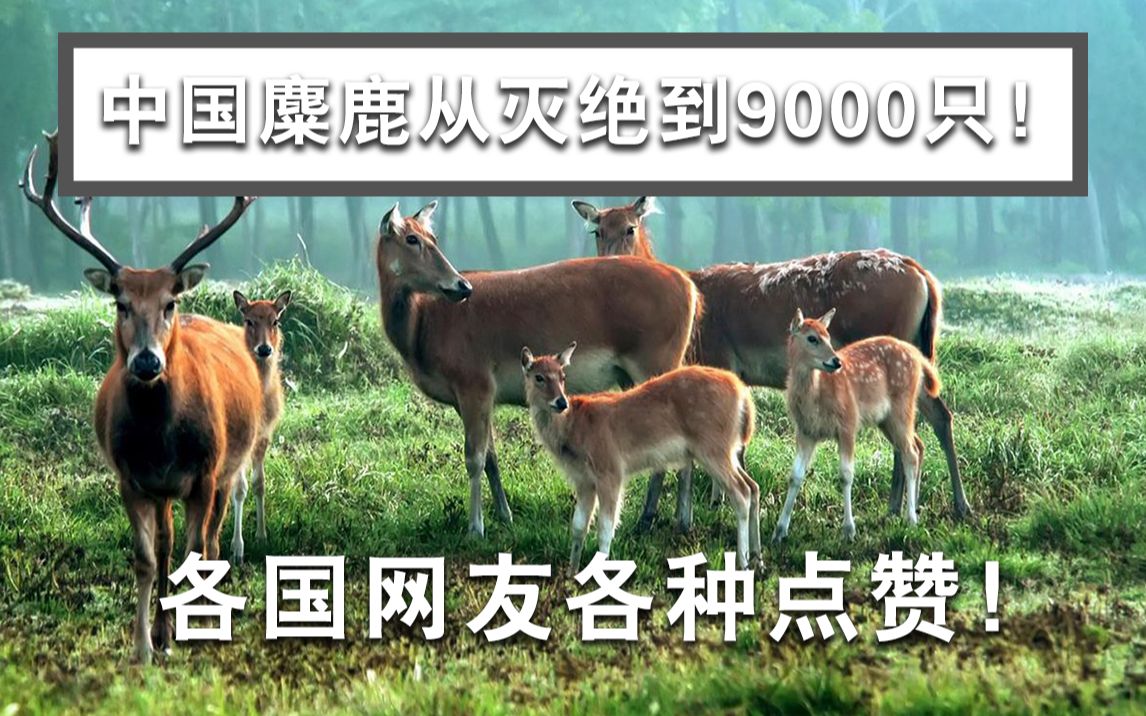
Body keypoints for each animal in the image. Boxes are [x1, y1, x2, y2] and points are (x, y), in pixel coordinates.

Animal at [18, 132, 258, 664]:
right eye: (121, 303)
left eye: (170, 302)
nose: (147, 362)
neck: (160, 438)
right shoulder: (130, 476)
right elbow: (147, 560)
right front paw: (144, 647)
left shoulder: (205, 471)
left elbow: (196, 551)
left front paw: (194, 628)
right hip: (163, 490)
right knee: (167, 547)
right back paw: (166, 630)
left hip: (225, 467)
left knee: (209, 542)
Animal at [372, 201, 700, 538]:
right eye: (412, 238)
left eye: (432, 238)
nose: (462, 285)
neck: (422, 327)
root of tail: (689, 286)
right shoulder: (473, 397)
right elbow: (491, 457)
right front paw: (505, 515)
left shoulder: (474, 381)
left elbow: (474, 458)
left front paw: (476, 527)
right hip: (632, 375)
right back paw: (679, 519)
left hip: (656, 361)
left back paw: (654, 519)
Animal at [522, 343, 760, 569]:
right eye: (538, 377)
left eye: (563, 376)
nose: (561, 402)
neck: (574, 430)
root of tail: (742, 394)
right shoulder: (583, 481)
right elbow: (579, 526)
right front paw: (572, 573)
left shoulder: (610, 471)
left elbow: (606, 529)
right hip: (728, 450)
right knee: (753, 486)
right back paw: (757, 558)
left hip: (713, 449)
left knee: (741, 493)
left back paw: (743, 561)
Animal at [772, 308, 940, 543]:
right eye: (812, 338)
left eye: (828, 336)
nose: (836, 361)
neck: (816, 395)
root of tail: (915, 354)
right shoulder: (805, 432)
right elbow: (795, 476)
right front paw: (779, 531)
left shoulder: (848, 423)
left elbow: (846, 475)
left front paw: (849, 530)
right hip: (887, 420)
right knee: (918, 445)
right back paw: (913, 509)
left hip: (902, 406)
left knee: (911, 453)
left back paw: (911, 519)